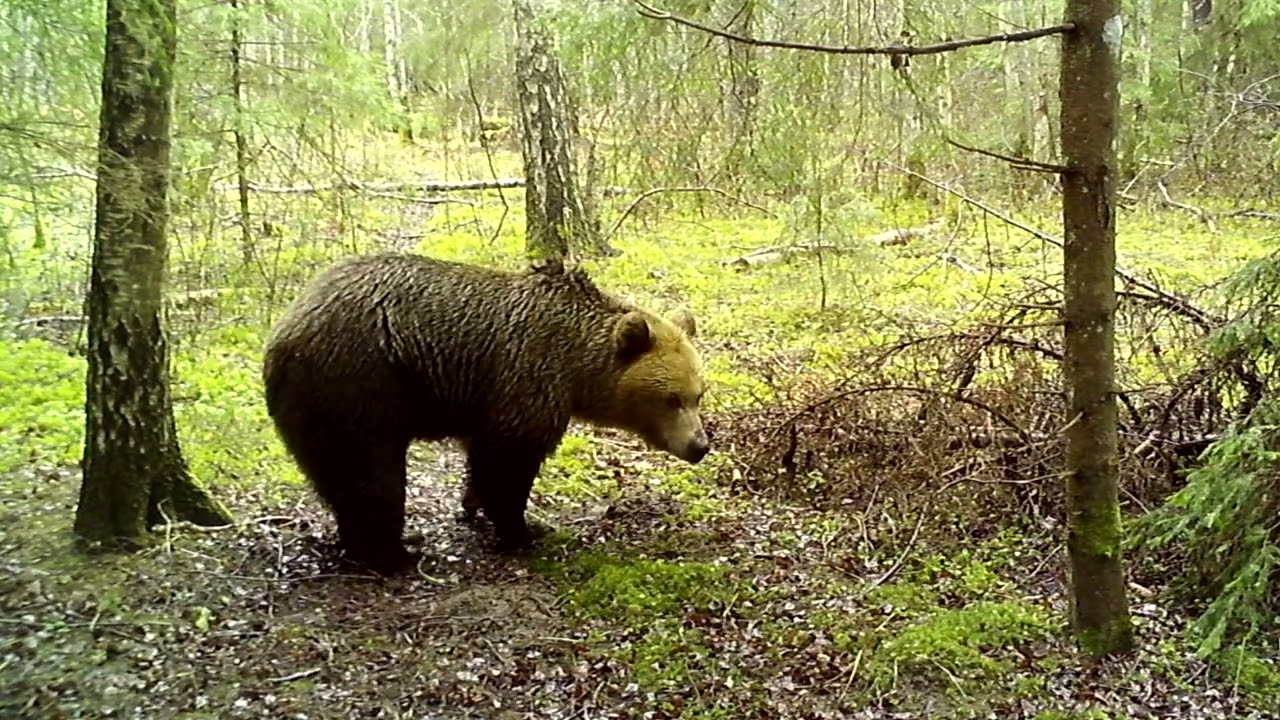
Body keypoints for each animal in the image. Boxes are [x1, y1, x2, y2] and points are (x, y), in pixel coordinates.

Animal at [261, 252, 710, 574]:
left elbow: (482, 459)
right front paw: (523, 530)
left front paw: (474, 506)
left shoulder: (489, 400)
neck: (576, 367)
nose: (699, 445)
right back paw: (393, 554)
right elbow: (508, 462)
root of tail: (284, 331)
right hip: (360, 385)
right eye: (671, 399)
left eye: (698, 395)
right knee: (373, 474)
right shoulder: (527, 379)